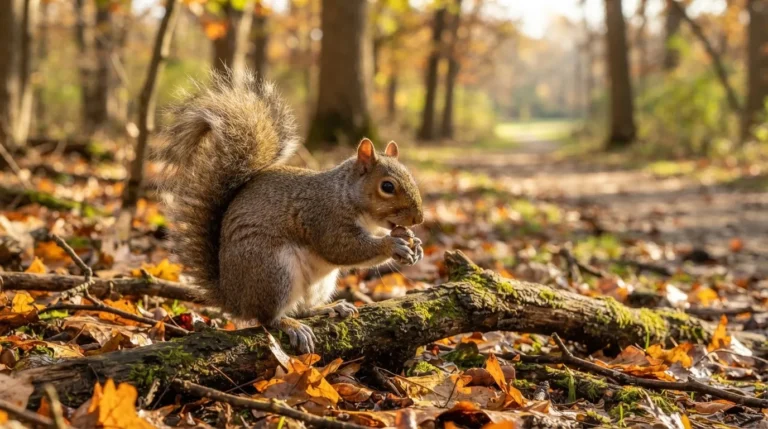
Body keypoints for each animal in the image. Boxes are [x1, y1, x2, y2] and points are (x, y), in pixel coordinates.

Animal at [154, 70, 424, 353]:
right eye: (387, 186)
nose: (419, 218)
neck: (345, 194)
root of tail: (233, 297)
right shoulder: (323, 216)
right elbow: (341, 248)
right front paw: (392, 245)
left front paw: (414, 245)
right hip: (273, 271)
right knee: (267, 318)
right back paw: (290, 325)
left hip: (318, 283)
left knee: (303, 309)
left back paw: (330, 307)